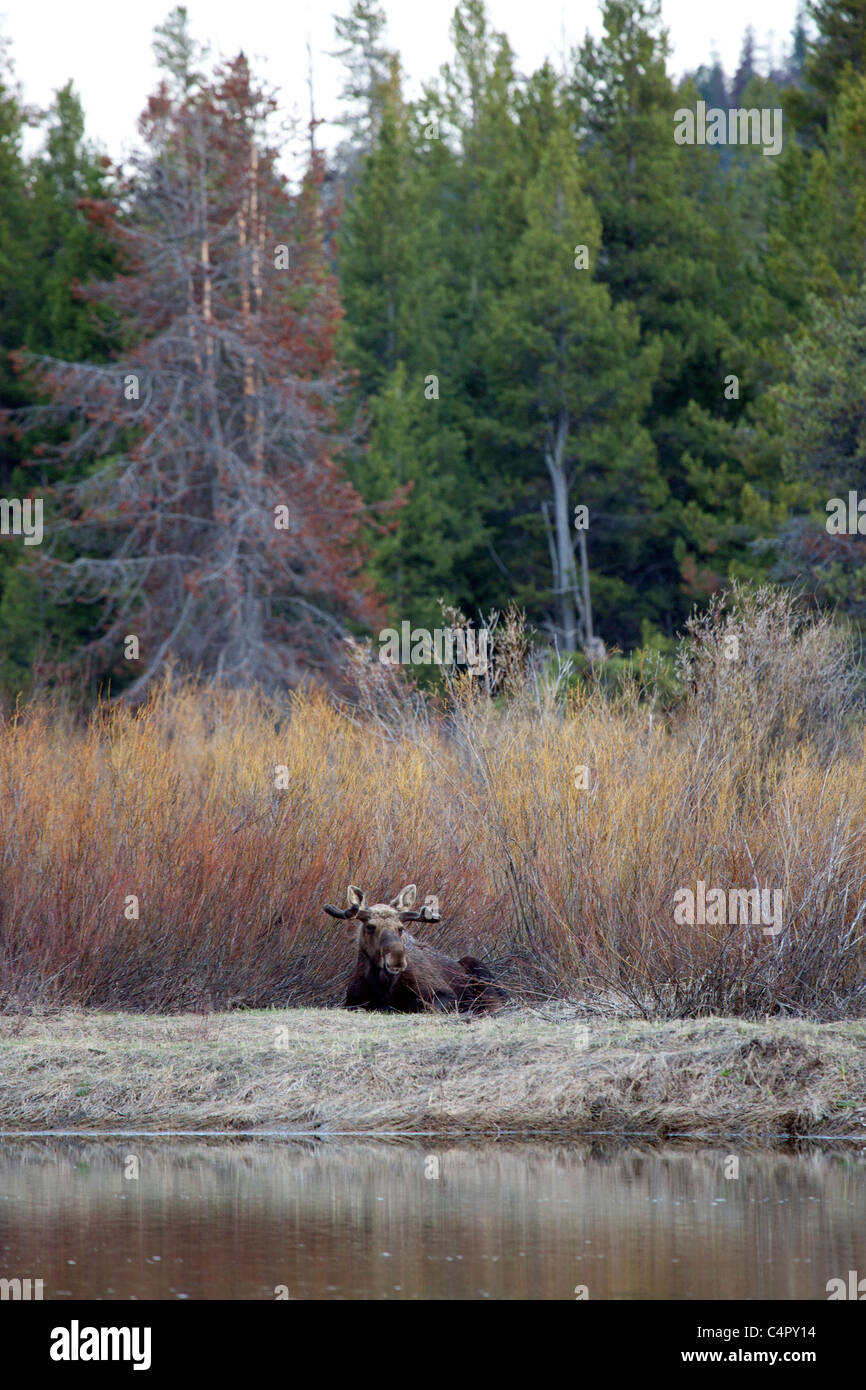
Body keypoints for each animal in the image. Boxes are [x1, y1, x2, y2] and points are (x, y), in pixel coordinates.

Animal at [323, 884, 505, 1014]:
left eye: (401, 928)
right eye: (370, 926)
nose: (396, 960)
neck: (384, 985)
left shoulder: (445, 993)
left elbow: (422, 1005)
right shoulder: (351, 1000)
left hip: (480, 971)